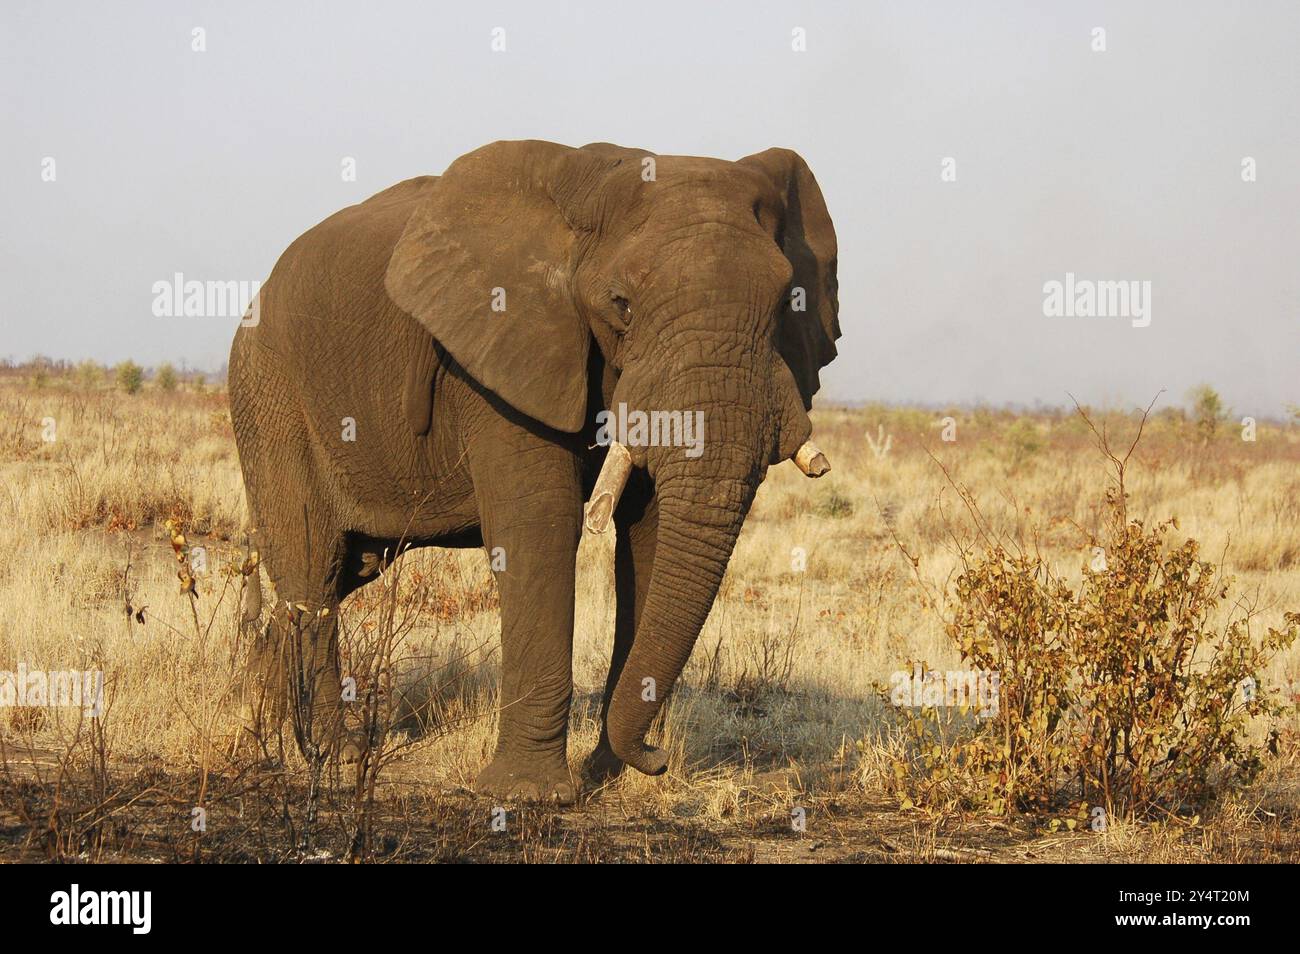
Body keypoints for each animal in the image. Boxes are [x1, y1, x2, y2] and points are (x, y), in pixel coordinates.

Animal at [228, 139, 840, 804]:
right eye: (622, 305)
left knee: (345, 568)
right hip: (268, 390)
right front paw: (529, 795)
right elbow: (538, 528)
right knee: (312, 564)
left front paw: (606, 776)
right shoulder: (501, 354)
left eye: (785, 304)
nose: (653, 758)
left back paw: (268, 726)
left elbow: (649, 539)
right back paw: (329, 757)